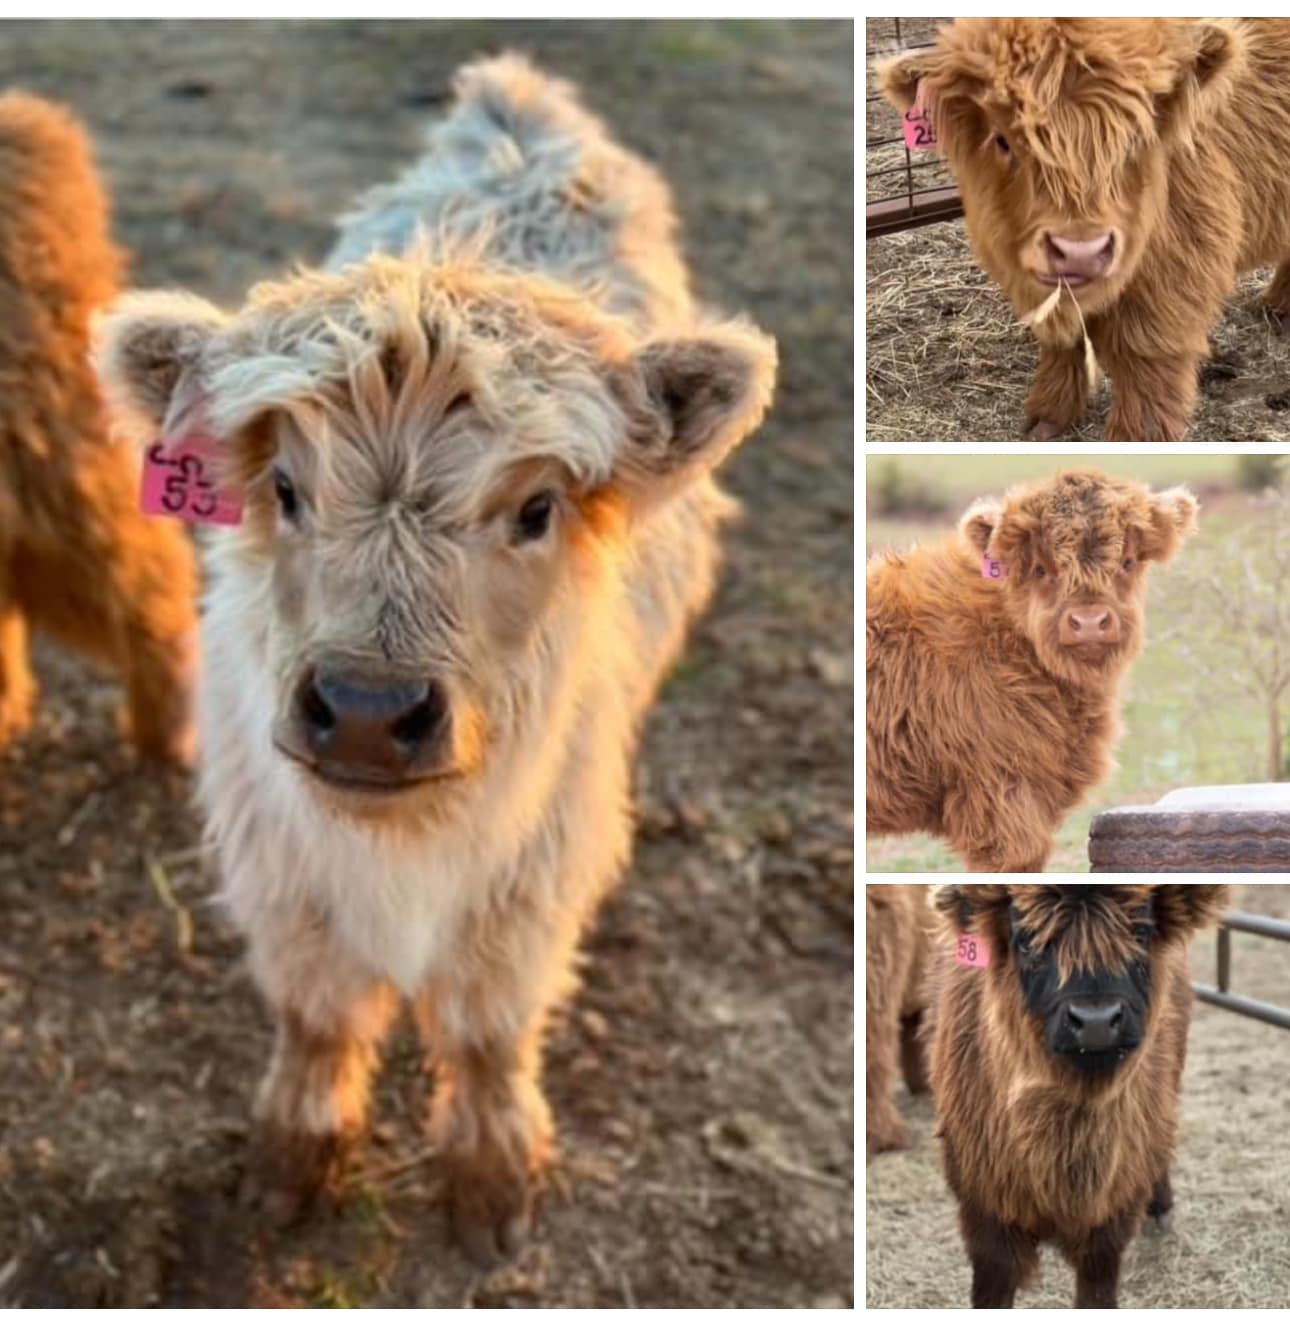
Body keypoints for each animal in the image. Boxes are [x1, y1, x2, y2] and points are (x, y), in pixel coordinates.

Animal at [95, 54, 776, 1262]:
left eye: (539, 508)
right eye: (285, 488)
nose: (367, 711)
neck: (399, 850)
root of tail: (519, 104)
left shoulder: (536, 871)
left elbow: (488, 1028)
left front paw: (492, 1175)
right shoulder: (277, 861)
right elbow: (317, 1011)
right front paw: (290, 1160)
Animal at [877, 19, 1290, 441]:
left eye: (1134, 139)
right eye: (1003, 141)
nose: (1080, 251)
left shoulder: (1180, 263)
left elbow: (1146, 355)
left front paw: (1135, 437)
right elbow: (1062, 340)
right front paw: (1047, 416)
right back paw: (1277, 307)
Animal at [924, 884, 1230, 1308]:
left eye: (1142, 932)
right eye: (1026, 940)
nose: (1096, 1021)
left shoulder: (1109, 1221)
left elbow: (1097, 1291)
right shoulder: (986, 1212)